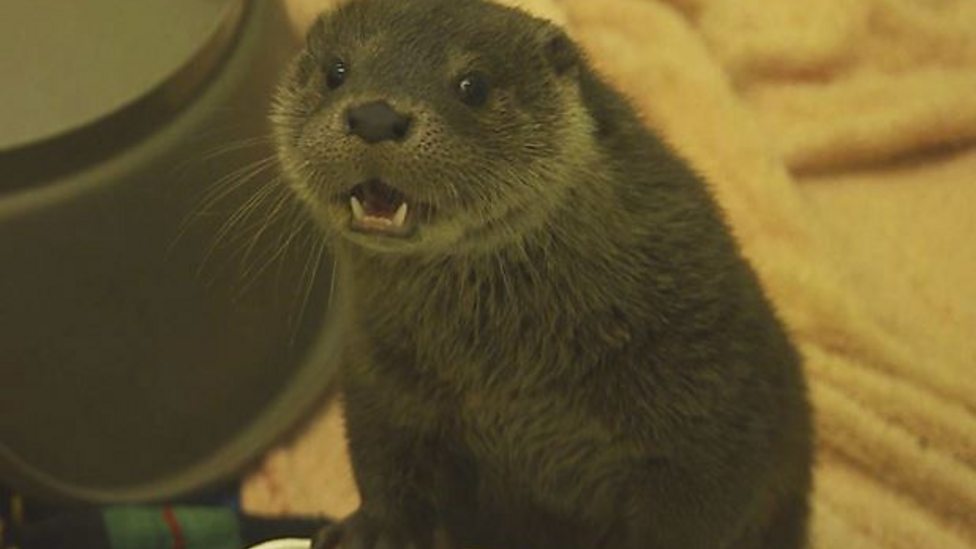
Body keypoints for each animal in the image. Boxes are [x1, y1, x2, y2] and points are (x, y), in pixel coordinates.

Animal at [270, 0, 812, 547]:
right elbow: (382, 458)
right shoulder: (379, 374)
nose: (376, 116)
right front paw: (374, 531)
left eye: (473, 85)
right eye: (337, 71)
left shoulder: (712, 408)